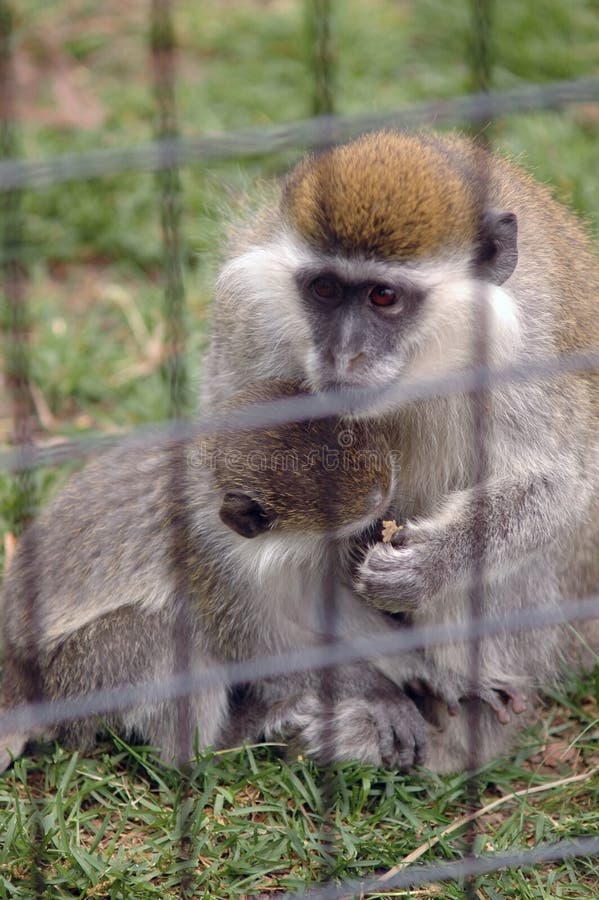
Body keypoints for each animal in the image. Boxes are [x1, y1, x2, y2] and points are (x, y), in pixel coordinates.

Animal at [0, 379, 431, 773]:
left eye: (347, 436)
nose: (384, 485)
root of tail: (16, 675)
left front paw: (409, 658)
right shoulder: (211, 566)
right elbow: (256, 650)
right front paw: (380, 692)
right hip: (77, 680)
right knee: (160, 633)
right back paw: (213, 746)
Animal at [200, 130, 599, 773]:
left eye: (384, 297)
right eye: (325, 289)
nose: (342, 355)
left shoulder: (525, 350)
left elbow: (562, 483)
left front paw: (430, 563)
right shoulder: (249, 314)